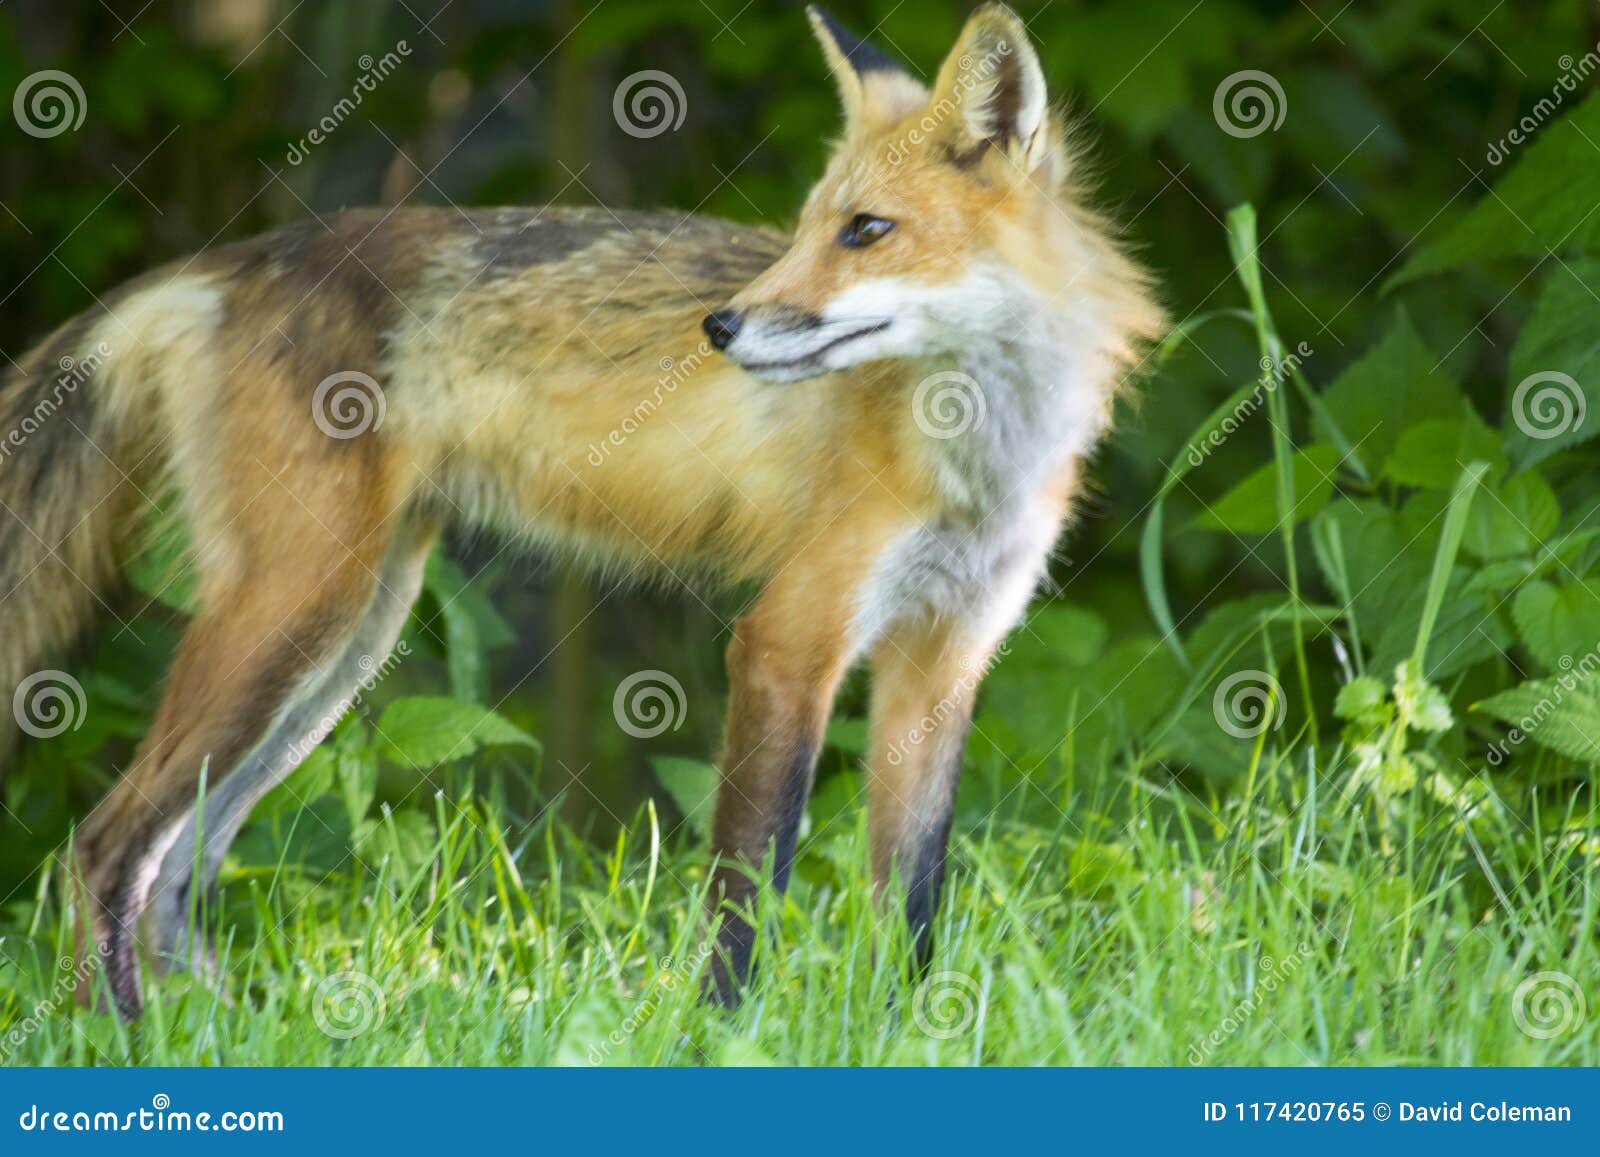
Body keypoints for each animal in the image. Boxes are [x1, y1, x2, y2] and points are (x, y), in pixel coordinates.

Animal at [0, 4, 1161, 1018]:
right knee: (105, 846)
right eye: (803, 230)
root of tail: (229, 260)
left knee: (177, 870)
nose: (721, 327)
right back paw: (120, 1037)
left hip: (343, 646)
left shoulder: (945, 654)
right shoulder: (789, 637)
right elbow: (746, 888)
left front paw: (904, 1028)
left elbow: (911, 897)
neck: (977, 456)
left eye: (868, 230)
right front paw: (719, 1034)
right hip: (294, 614)